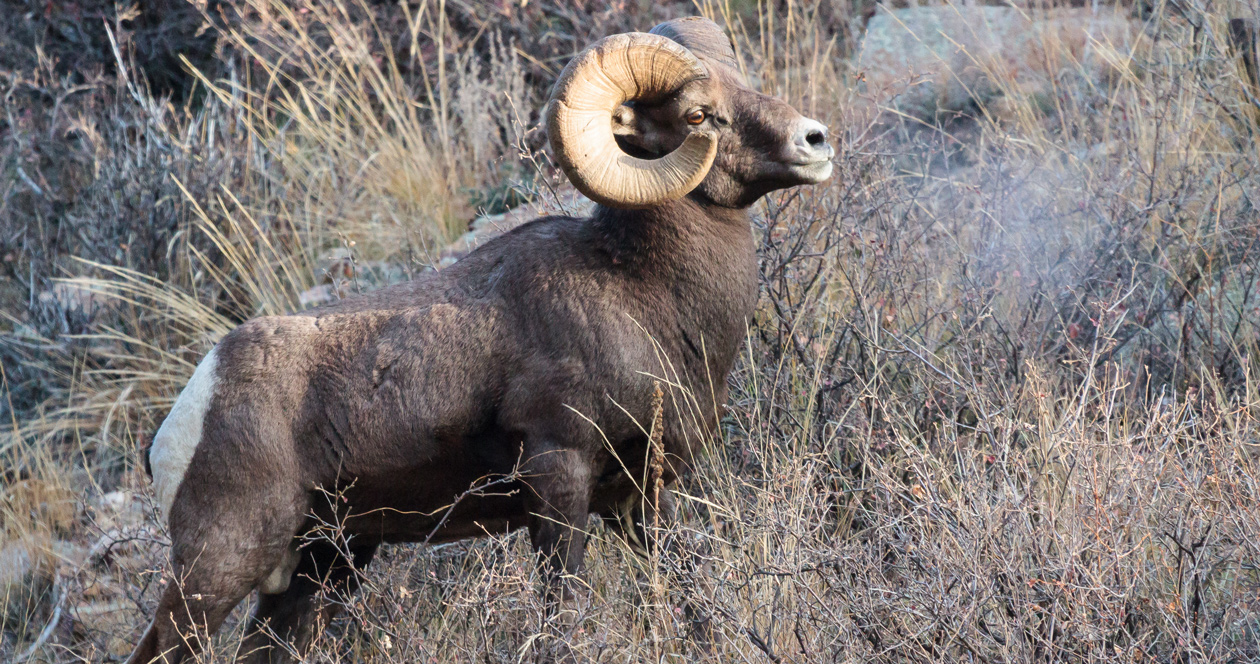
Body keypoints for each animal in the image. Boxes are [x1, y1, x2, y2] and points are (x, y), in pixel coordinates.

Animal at [126, 16, 833, 664]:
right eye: (698, 113)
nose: (815, 139)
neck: (643, 294)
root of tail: (189, 407)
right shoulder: (559, 480)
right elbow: (563, 607)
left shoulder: (643, 497)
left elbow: (680, 596)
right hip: (219, 568)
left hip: (324, 565)